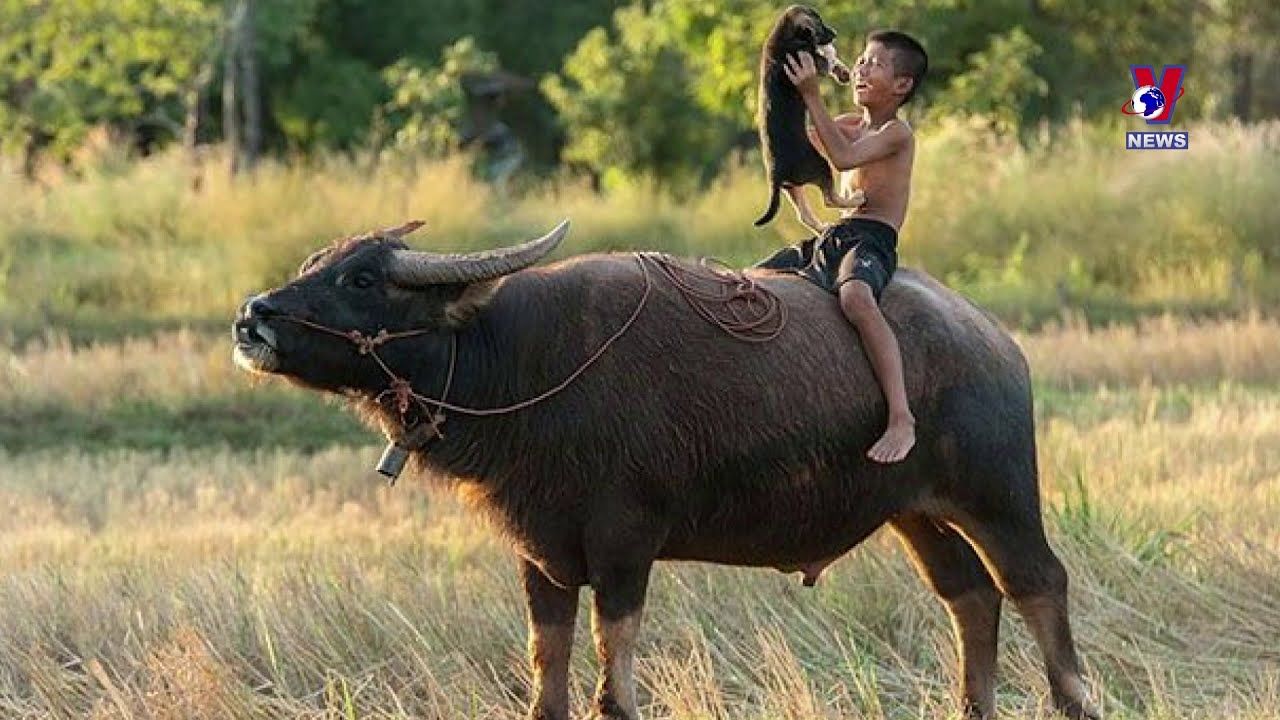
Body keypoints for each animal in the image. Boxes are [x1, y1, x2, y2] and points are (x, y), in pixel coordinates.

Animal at [232, 220, 1098, 720]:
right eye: (315, 262)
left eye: (361, 278)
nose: (251, 316)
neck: (522, 363)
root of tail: (994, 340)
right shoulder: (539, 555)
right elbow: (547, 683)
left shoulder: (624, 547)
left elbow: (613, 688)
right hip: (915, 512)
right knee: (970, 596)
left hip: (999, 496)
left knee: (1038, 583)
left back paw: (1072, 702)